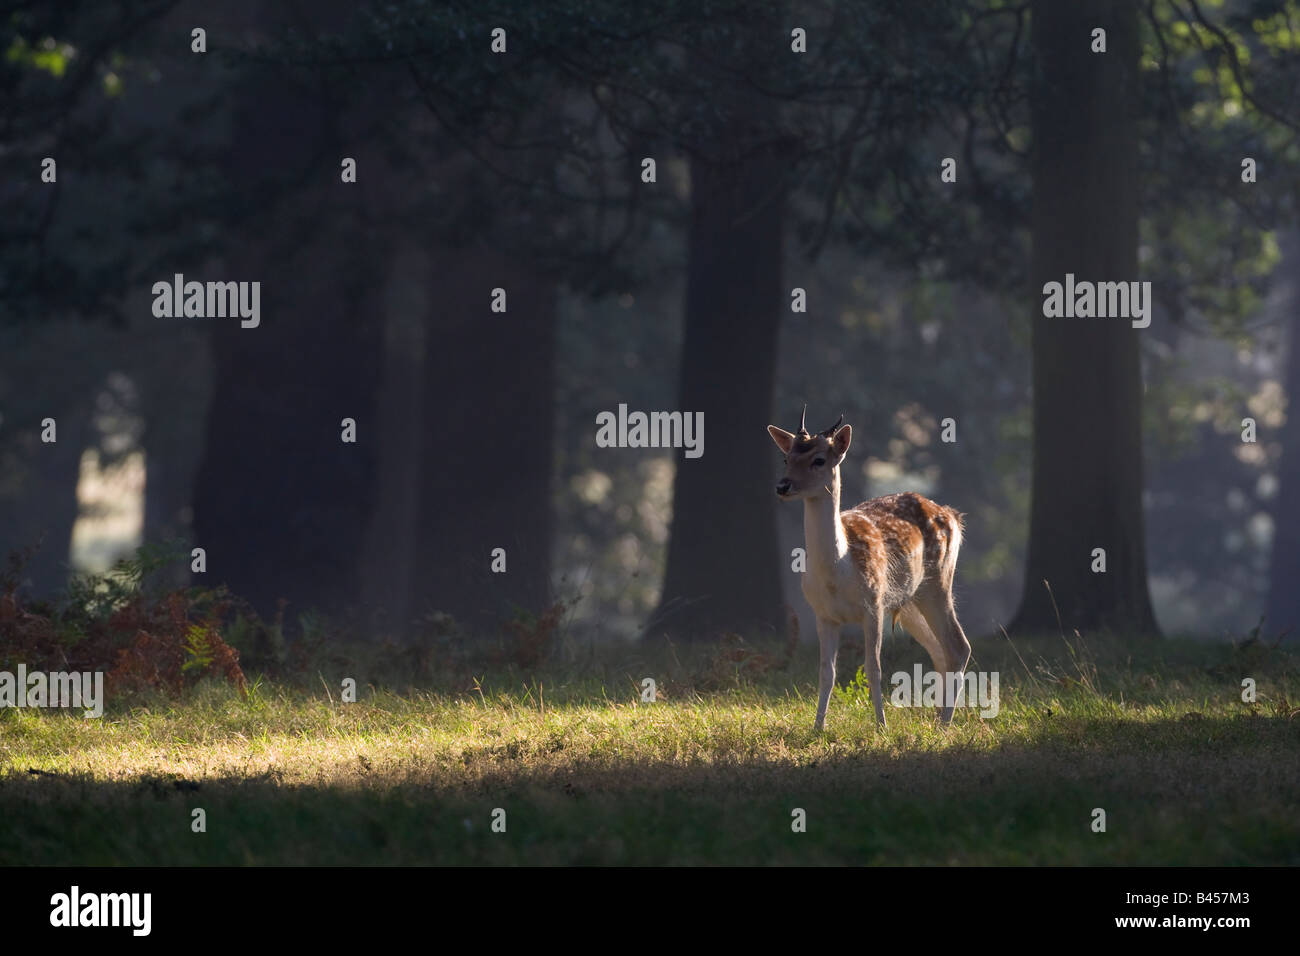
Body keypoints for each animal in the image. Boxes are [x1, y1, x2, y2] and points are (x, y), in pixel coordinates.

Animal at [768, 408, 971, 732]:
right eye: (786, 458)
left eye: (819, 460)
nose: (782, 486)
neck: (839, 569)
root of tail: (953, 515)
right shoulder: (823, 613)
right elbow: (826, 671)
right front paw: (818, 727)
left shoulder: (873, 605)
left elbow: (873, 667)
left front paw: (881, 726)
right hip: (909, 600)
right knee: (939, 651)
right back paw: (938, 716)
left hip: (938, 581)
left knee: (958, 647)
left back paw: (944, 724)